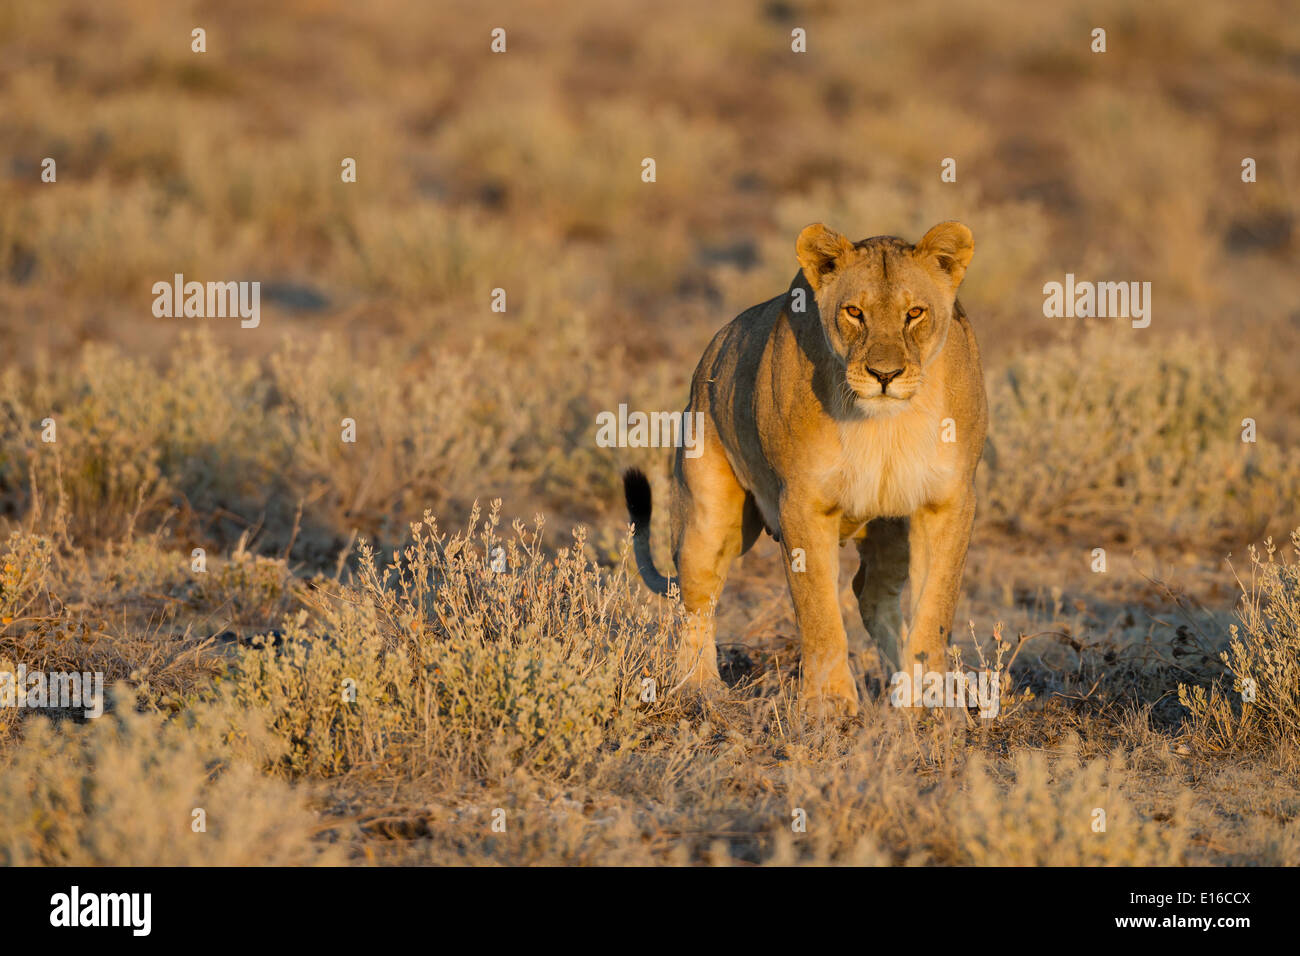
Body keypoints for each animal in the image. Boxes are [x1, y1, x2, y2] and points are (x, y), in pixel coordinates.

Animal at [622, 221, 987, 715]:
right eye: (854, 312)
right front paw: (830, 705)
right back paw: (700, 690)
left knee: (872, 594)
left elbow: (935, 610)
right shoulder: (802, 502)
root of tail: (707, 360)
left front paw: (926, 703)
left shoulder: (947, 501)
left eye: (915, 312)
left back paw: (896, 688)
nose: (884, 375)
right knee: (696, 601)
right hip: (707, 518)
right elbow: (819, 613)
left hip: (891, 525)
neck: (886, 425)